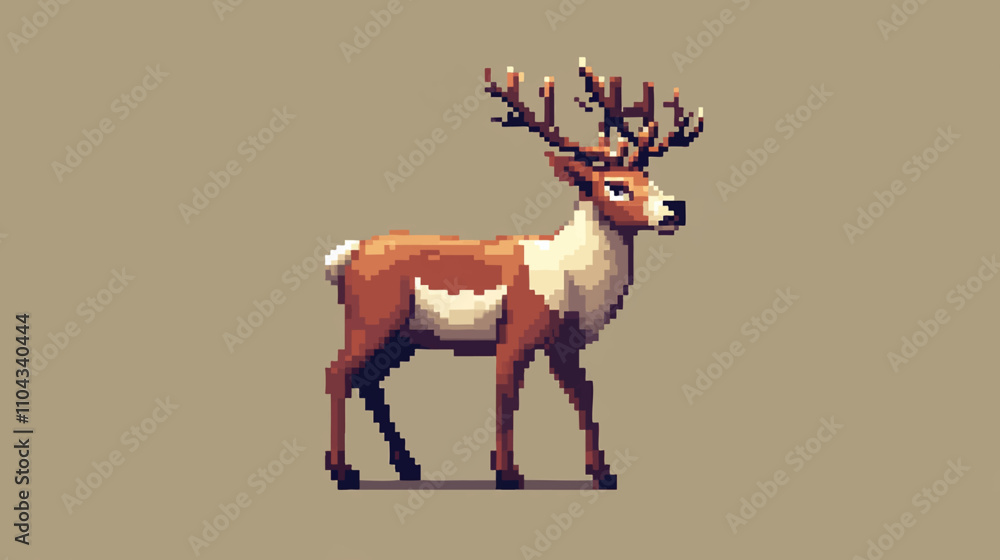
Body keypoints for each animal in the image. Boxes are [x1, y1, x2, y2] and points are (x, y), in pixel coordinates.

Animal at [324, 57, 704, 490]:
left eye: (648, 177)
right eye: (616, 186)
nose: (676, 208)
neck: (574, 277)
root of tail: (346, 256)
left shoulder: (564, 344)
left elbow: (584, 395)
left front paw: (603, 473)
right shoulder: (518, 331)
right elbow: (507, 395)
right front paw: (507, 473)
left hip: (402, 336)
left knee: (368, 380)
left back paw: (407, 466)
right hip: (372, 319)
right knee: (337, 372)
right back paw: (343, 472)